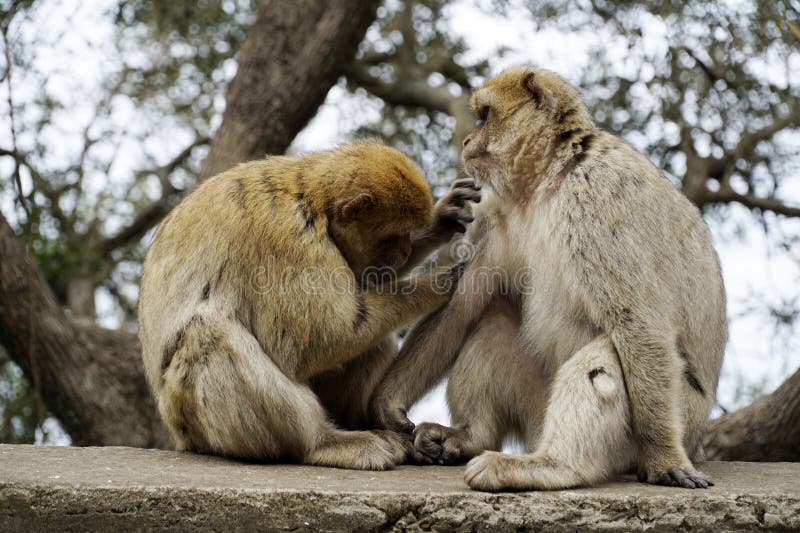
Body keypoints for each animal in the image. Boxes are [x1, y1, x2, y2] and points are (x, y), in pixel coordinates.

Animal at [138, 142, 480, 470]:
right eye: (392, 237)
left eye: (408, 234)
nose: (406, 251)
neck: (311, 196)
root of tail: (182, 439)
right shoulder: (286, 236)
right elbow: (322, 338)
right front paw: (439, 283)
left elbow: (357, 293)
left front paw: (442, 218)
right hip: (196, 426)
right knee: (206, 334)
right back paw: (323, 443)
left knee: (373, 337)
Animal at [369, 67, 727, 490]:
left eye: (484, 116)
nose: (468, 140)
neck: (545, 183)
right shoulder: (495, 211)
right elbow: (462, 301)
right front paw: (389, 401)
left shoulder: (599, 198)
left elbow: (638, 322)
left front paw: (664, 459)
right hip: (537, 409)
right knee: (491, 318)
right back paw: (471, 437)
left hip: (675, 418)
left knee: (609, 353)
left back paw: (554, 464)